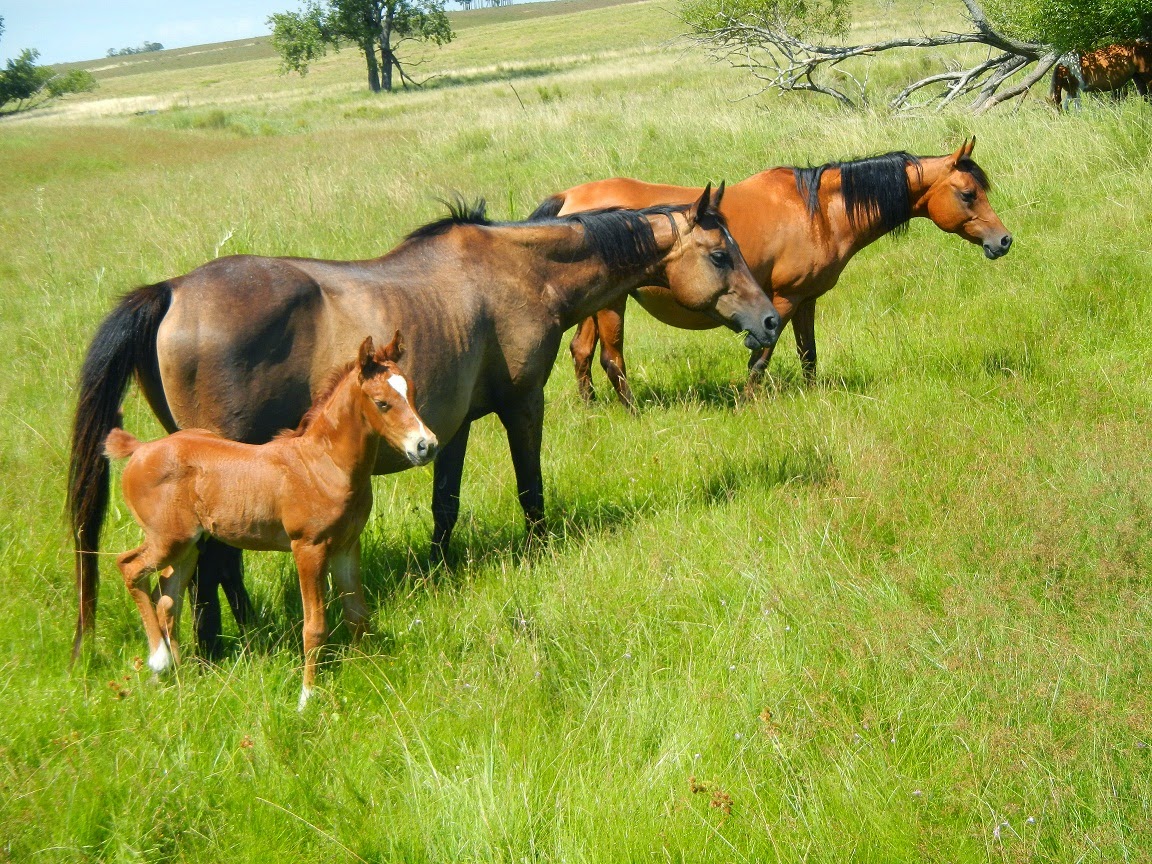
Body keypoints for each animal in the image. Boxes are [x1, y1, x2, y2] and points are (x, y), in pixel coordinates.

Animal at [68, 185, 780, 661]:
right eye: (721, 255)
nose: (771, 320)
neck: (520, 271)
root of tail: (173, 290)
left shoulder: (452, 425)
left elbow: (446, 502)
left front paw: (440, 570)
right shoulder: (524, 403)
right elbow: (531, 488)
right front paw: (540, 551)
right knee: (214, 560)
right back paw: (225, 640)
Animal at [105, 334, 434, 708]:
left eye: (411, 392)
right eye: (381, 403)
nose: (426, 446)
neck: (324, 465)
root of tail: (140, 450)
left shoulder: (347, 545)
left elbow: (357, 615)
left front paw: (367, 672)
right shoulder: (308, 547)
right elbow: (314, 625)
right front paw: (306, 696)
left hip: (189, 545)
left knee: (167, 598)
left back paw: (176, 674)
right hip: (167, 539)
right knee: (129, 567)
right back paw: (159, 658)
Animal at [530, 138, 1013, 410]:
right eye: (969, 194)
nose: (1004, 241)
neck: (819, 213)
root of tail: (570, 199)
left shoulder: (807, 299)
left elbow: (808, 353)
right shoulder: (782, 299)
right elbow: (762, 354)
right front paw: (747, 402)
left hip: (599, 304)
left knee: (581, 351)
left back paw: (592, 409)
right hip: (611, 305)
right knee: (612, 359)